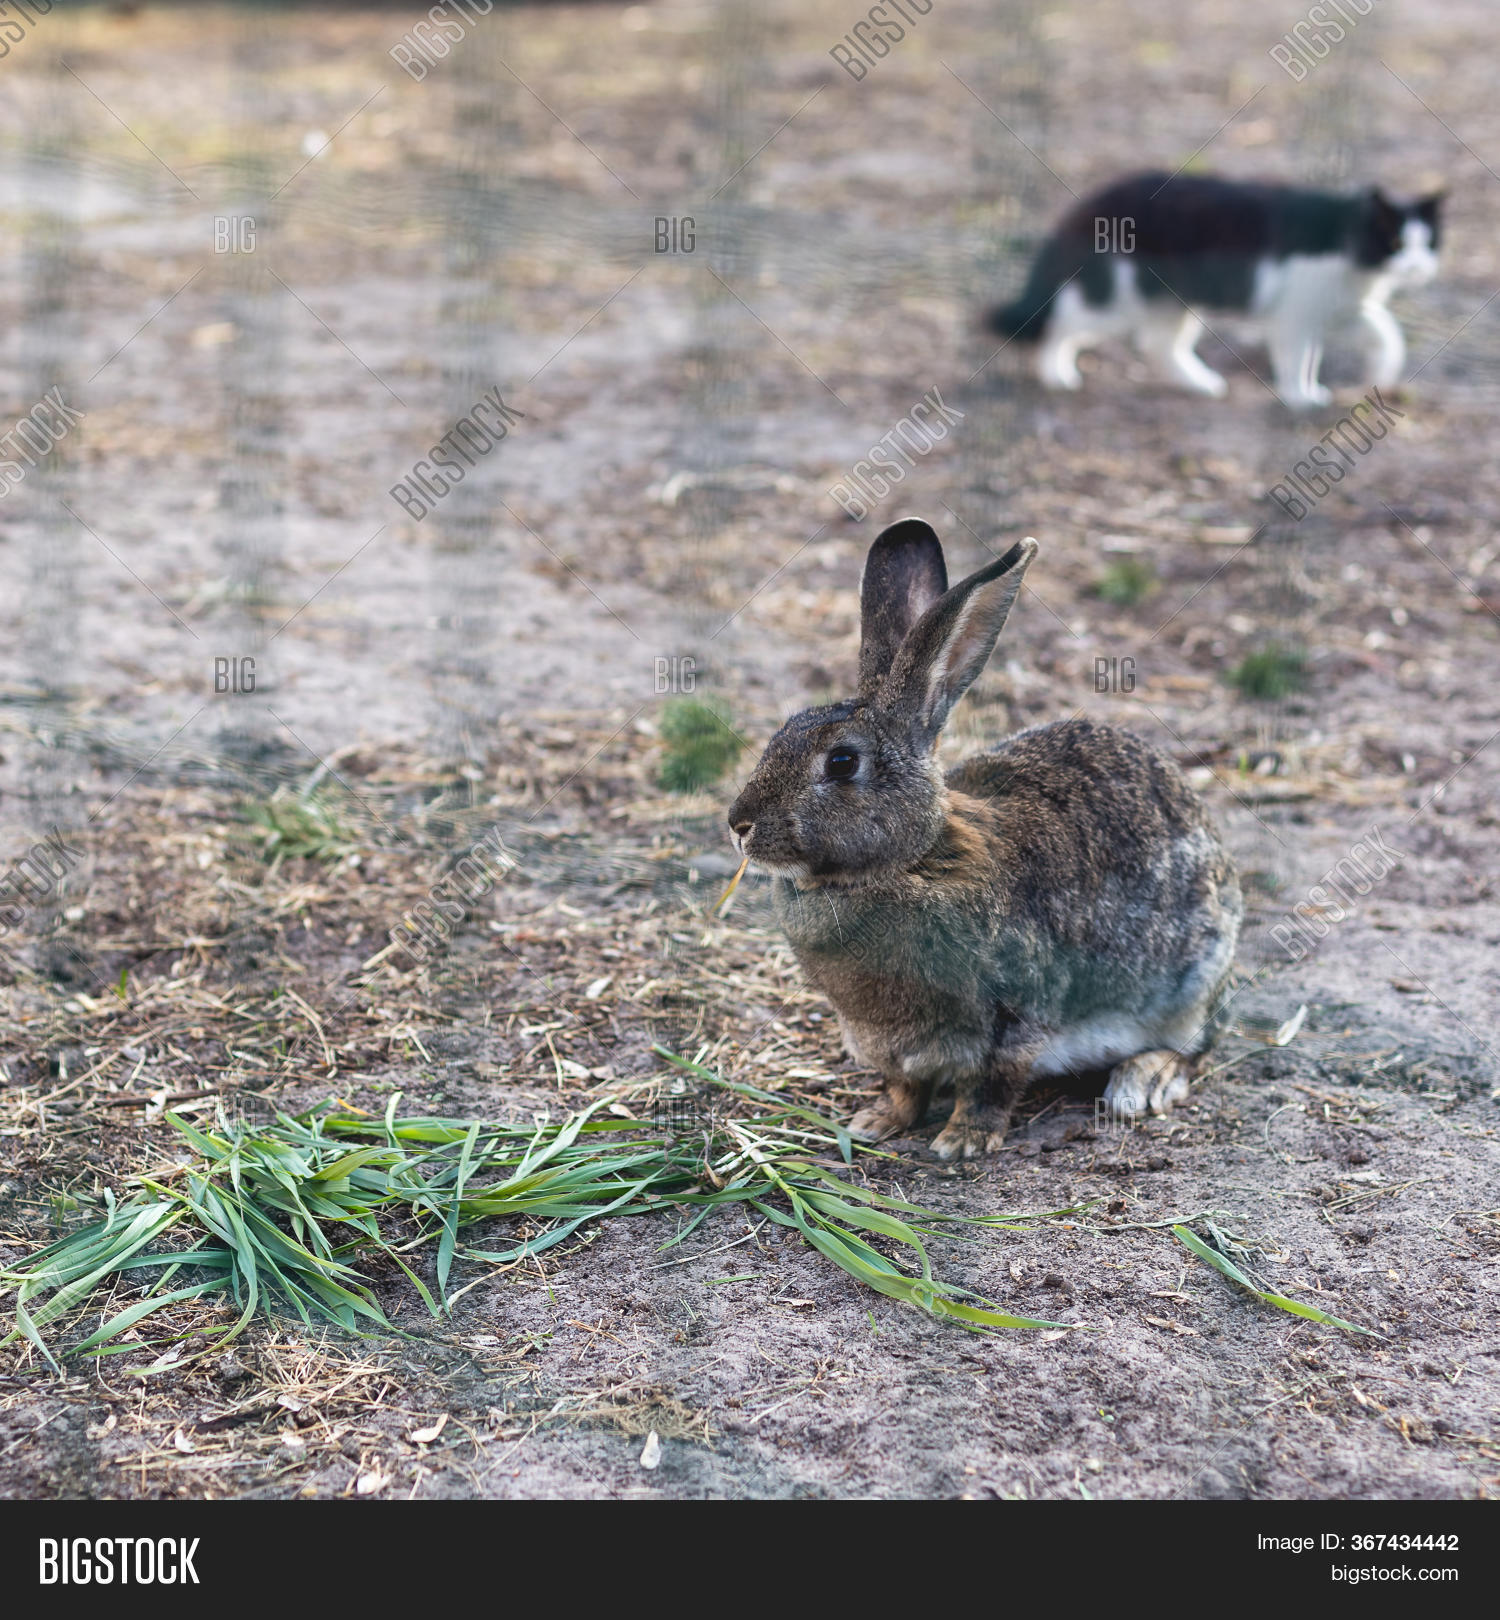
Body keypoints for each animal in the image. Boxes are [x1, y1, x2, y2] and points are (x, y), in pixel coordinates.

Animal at [726, 517, 1242, 1160]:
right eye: (780, 733)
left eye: (842, 762)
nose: (738, 823)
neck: (913, 858)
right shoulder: (884, 1044)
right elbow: (904, 1088)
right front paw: (876, 1121)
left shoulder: (1015, 1021)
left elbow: (991, 1087)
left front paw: (962, 1141)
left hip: (1192, 985)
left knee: (1196, 1046)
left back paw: (1142, 1082)